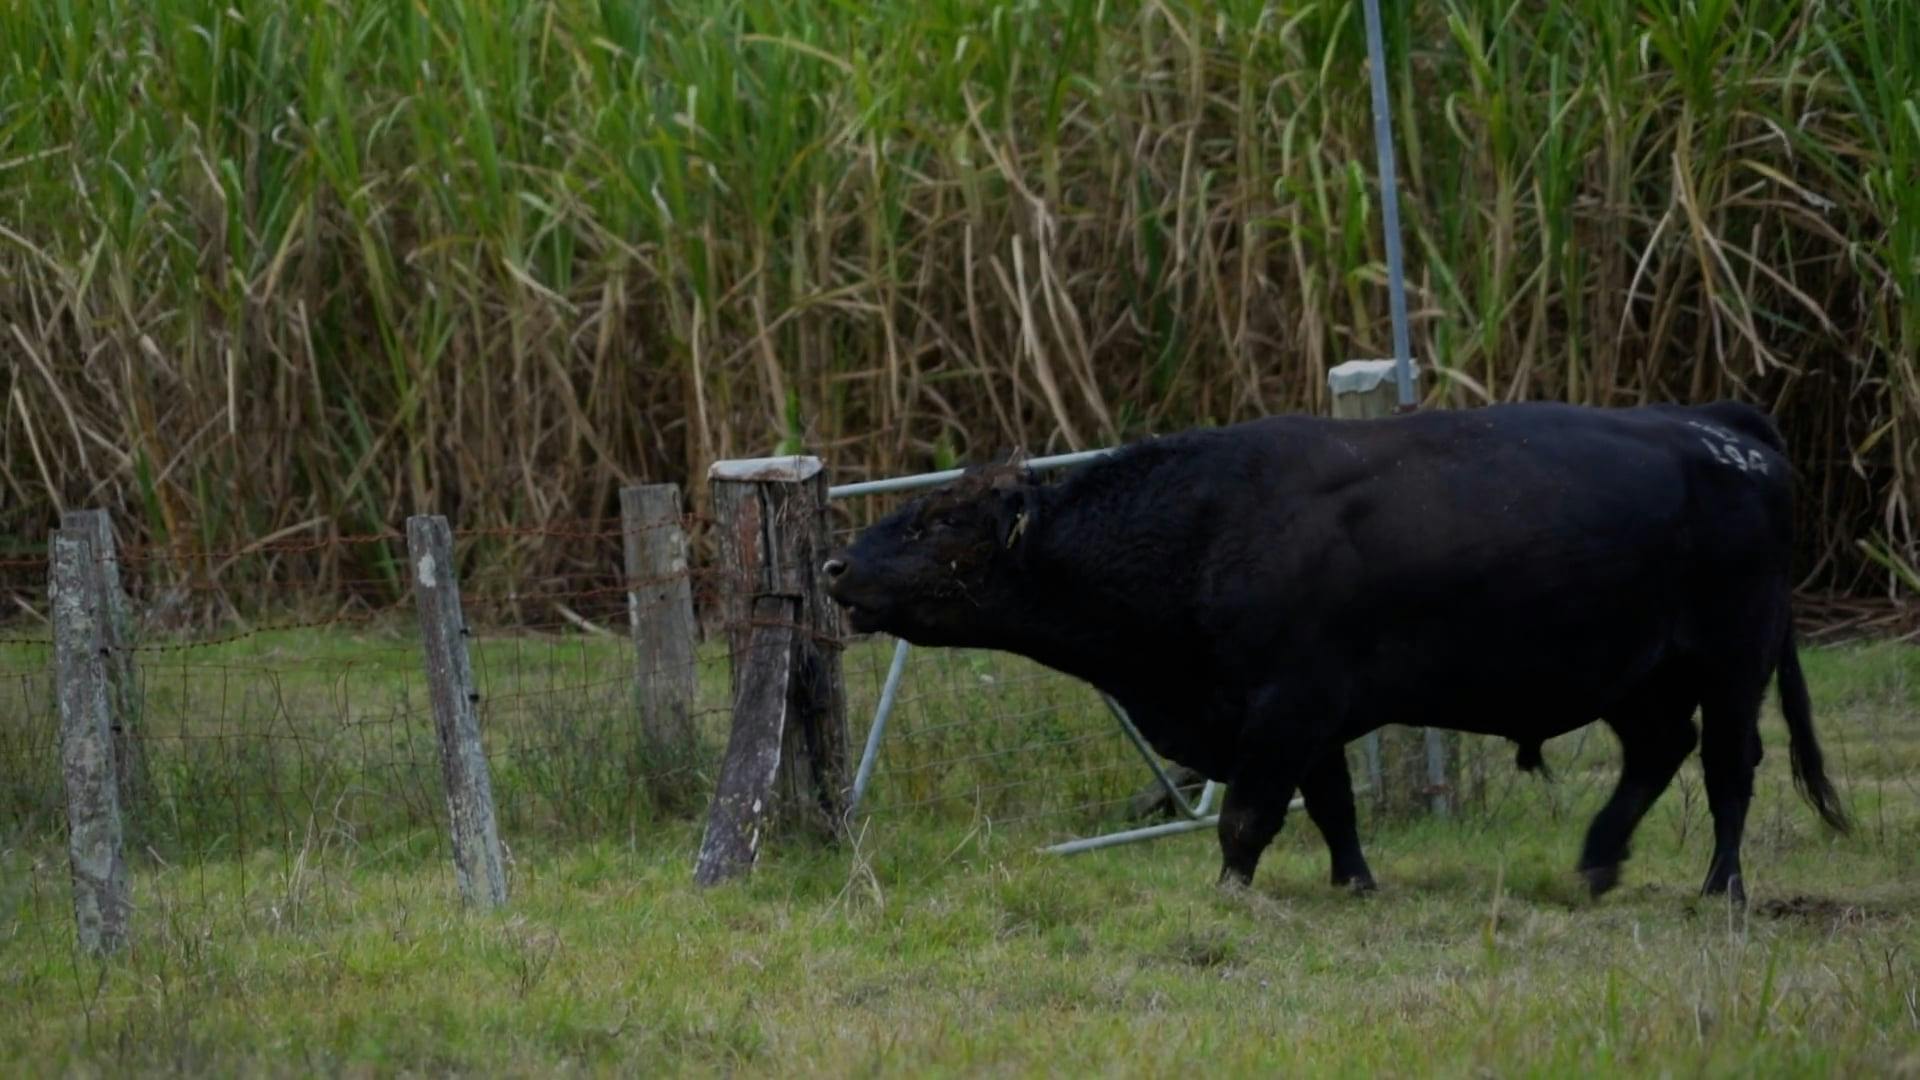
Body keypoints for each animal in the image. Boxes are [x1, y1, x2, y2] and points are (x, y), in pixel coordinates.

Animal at [821, 401, 1852, 902]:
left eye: (939, 524)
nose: (833, 564)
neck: (1204, 528)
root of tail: (1721, 427)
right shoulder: (1303, 719)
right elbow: (1334, 809)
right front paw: (1353, 883)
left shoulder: (1288, 704)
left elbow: (1248, 817)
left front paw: (1231, 894)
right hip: (1634, 676)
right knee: (1659, 752)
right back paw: (1598, 860)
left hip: (1731, 663)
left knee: (1729, 768)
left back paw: (1722, 886)